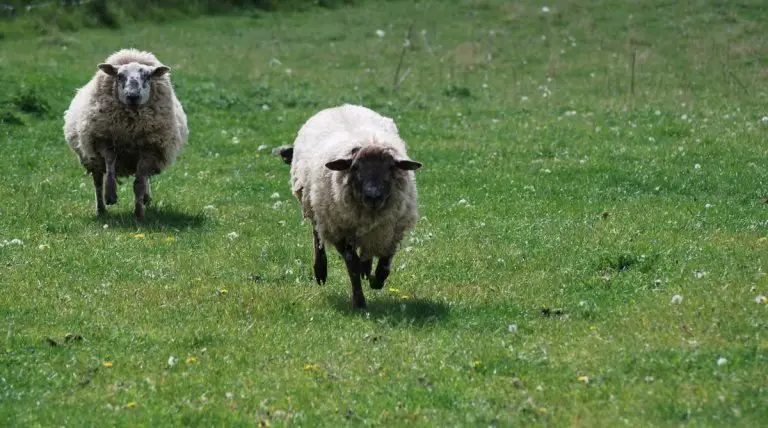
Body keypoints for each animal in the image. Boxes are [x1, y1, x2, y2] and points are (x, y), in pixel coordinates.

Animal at [63, 48, 188, 219]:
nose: (132, 96)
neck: (131, 127)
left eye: (148, 76)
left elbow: (139, 183)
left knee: (143, 178)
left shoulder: (149, 149)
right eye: (119, 76)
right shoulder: (104, 141)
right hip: (91, 157)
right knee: (97, 182)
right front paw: (110, 195)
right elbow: (110, 166)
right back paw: (100, 209)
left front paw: (139, 213)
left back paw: (145, 198)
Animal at [282, 104, 422, 309]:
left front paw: (376, 280)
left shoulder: (393, 229)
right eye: (355, 167)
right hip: (316, 208)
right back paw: (320, 271)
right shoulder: (341, 230)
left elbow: (385, 262)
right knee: (317, 236)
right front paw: (359, 301)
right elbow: (352, 266)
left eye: (391, 167)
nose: (373, 195)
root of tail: (339, 107)